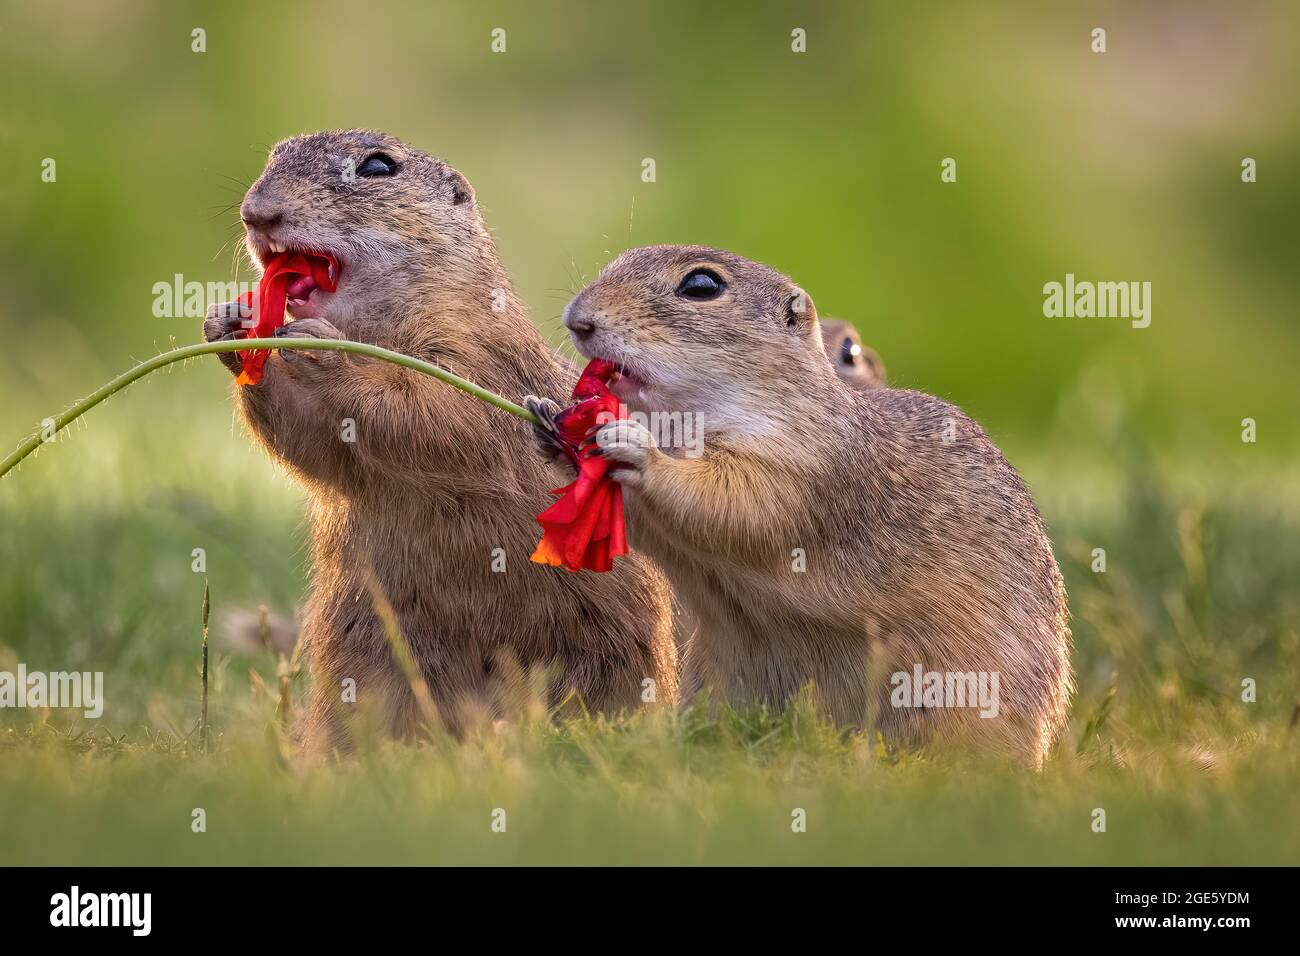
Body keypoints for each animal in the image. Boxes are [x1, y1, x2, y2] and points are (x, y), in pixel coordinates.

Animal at [203, 131, 677, 751]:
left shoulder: (474, 356)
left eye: (378, 167)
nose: (256, 211)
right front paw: (227, 324)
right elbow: (314, 441)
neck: (378, 331)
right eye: (274, 154)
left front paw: (323, 352)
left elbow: (433, 412)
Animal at [533, 244, 1072, 766]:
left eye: (702, 285)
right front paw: (547, 422)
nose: (578, 319)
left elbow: (730, 502)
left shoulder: (799, 465)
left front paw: (635, 446)